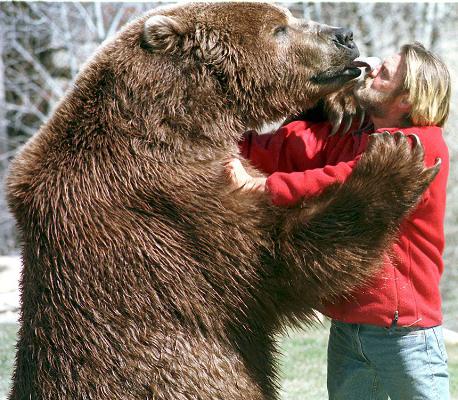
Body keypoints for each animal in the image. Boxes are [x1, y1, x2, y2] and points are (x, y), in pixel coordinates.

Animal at [5, 3, 438, 400]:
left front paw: (341, 106)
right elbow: (278, 257)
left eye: (288, 15)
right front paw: (395, 160)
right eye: (279, 27)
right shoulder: (169, 210)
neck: (182, 121)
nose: (344, 35)